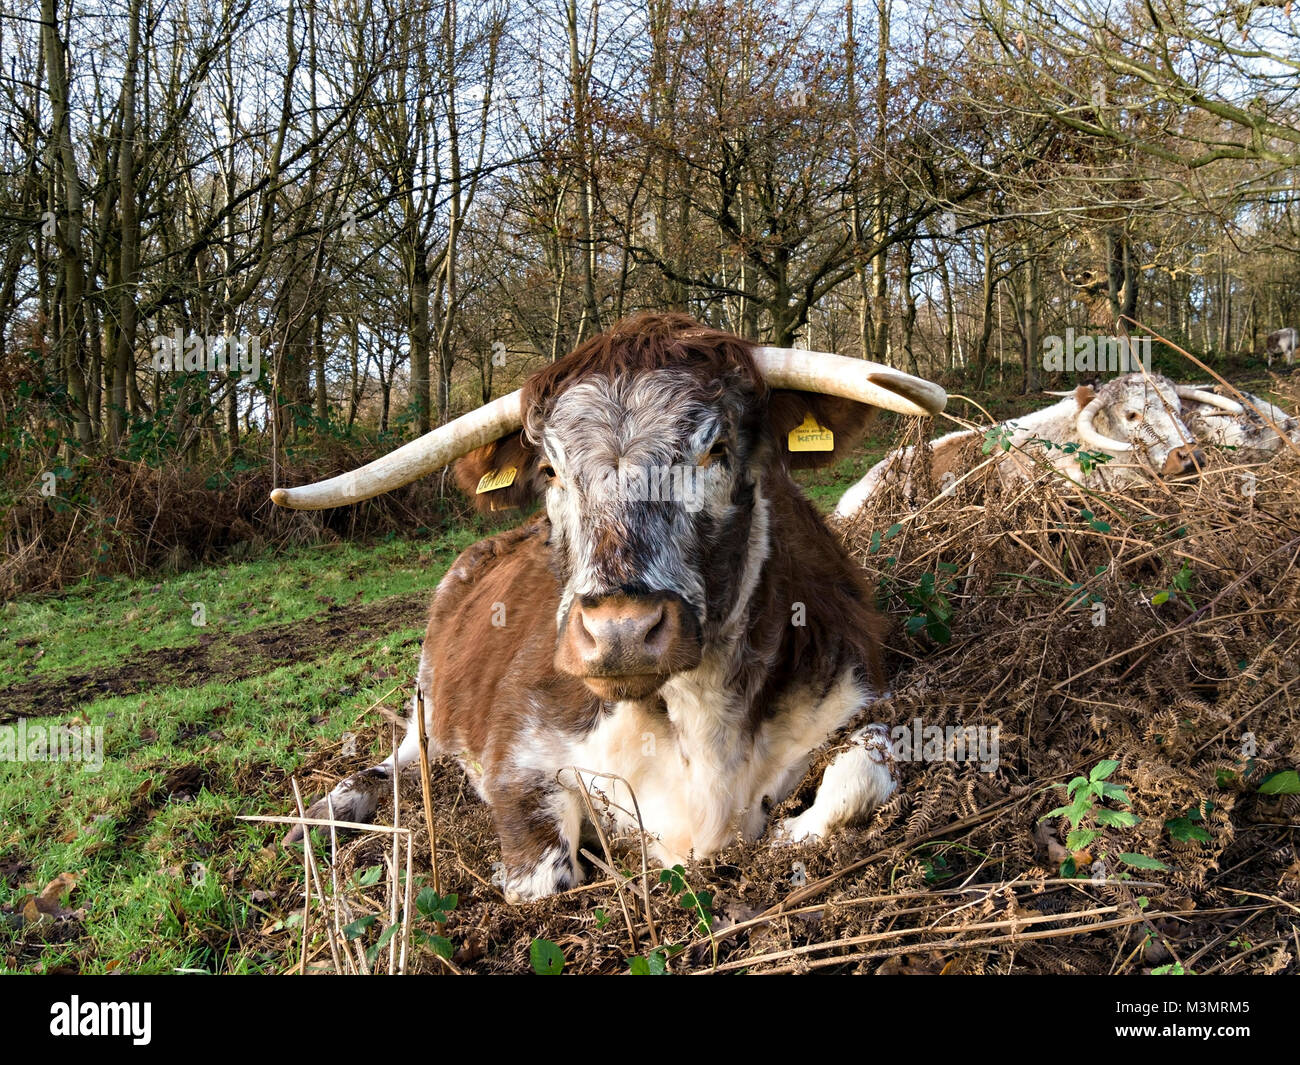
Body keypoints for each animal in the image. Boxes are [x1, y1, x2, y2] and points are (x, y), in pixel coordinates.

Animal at [272, 313, 946, 902]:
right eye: (550, 469)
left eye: (717, 448)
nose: (620, 630)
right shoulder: (518, 756)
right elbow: (542, 879)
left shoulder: (863, 691)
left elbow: (860, 776)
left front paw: (788, 835)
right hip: (430, 697)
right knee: (405, 759)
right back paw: (330, 808)